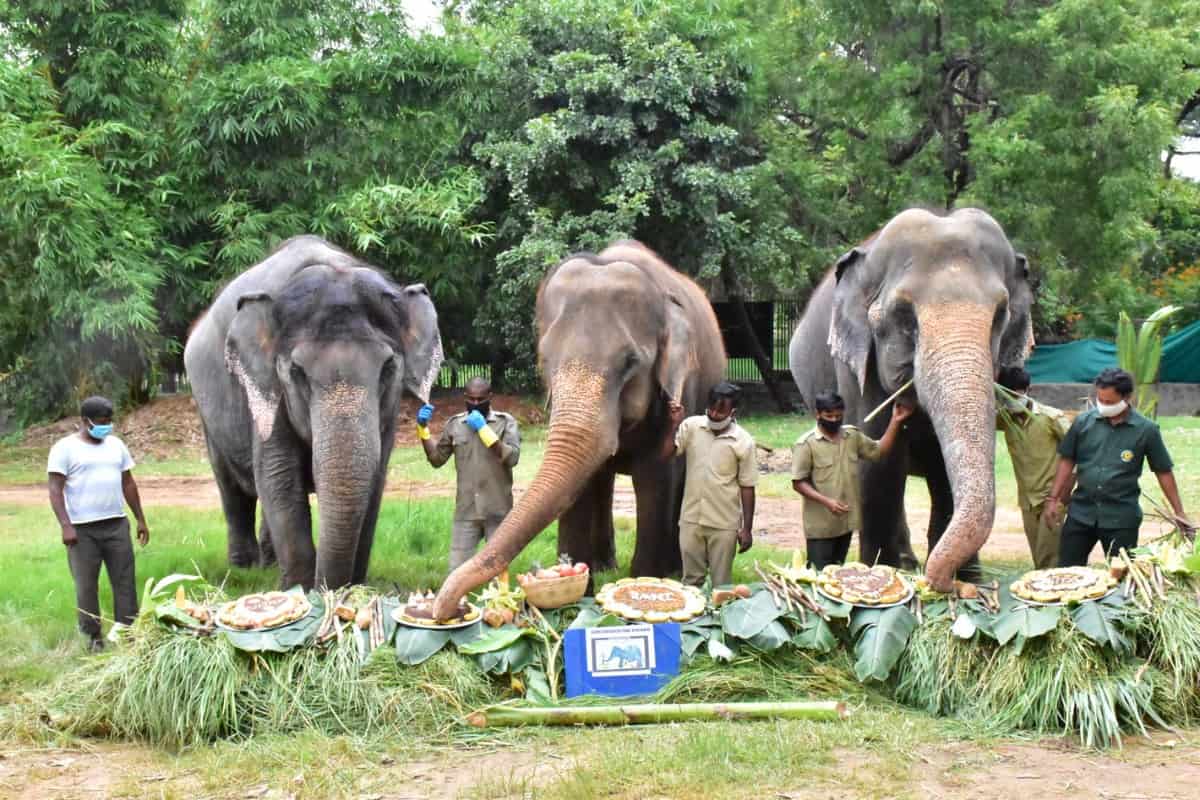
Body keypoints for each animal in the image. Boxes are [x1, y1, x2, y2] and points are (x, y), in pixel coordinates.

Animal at [184, 236, 443, 590]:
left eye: (388, 367)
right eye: (297, 372)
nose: (330, 587)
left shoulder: (388, 411)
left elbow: (374, 478)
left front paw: (351, 588)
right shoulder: (268, 391)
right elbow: (280, 475)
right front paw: (300, 591)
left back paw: (268, 564)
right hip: (206, 410)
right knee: (231, 487)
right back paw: (244, 569)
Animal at [432, 240, 726, 618]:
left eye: (631, 363)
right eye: (545, 359)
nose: (446, 608)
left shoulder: (679, 392)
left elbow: (656, 478)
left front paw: (645, 581)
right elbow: (578, 487)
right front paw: (575, 594)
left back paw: (670, 570)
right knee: (601, 479)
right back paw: (604, 565)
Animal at [788, 208, 1033, 591]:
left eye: (1000, 316)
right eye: (904, 316)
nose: (953, 586)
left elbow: (944, 468)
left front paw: (968, 579)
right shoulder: (857, 369)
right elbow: (878, 458)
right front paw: (883, 572)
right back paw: (903, 563)